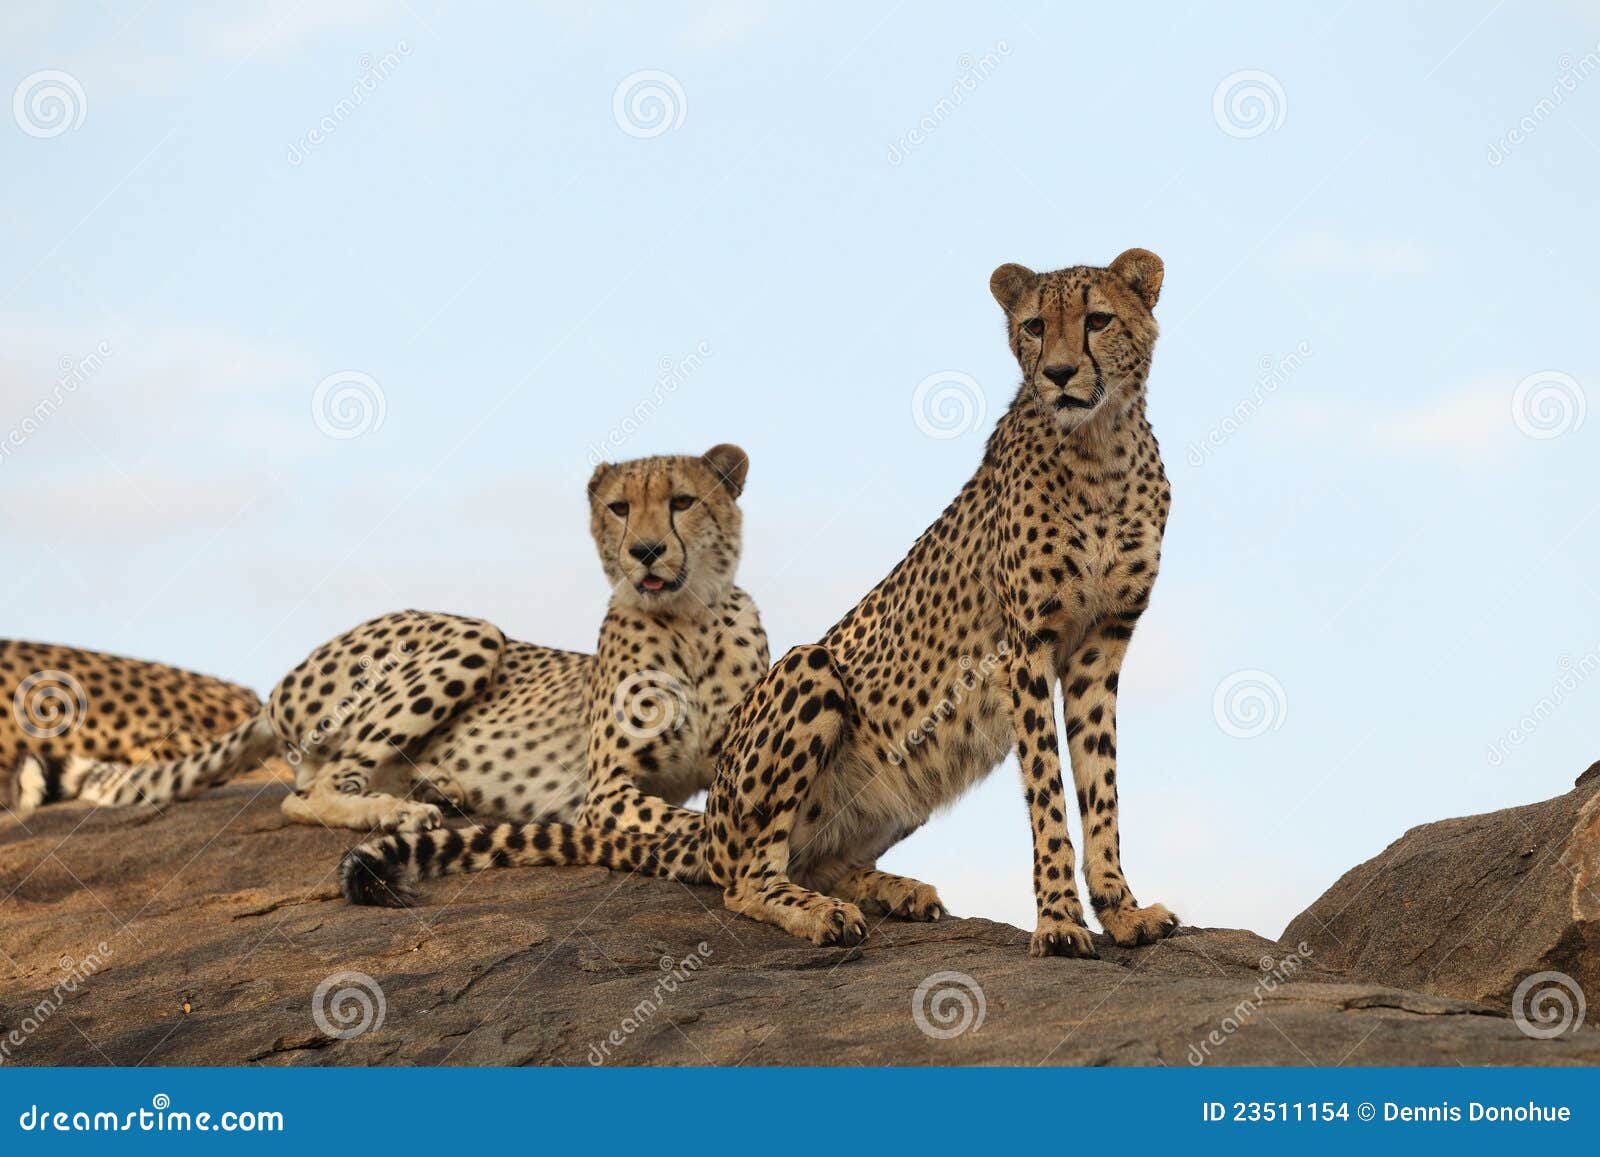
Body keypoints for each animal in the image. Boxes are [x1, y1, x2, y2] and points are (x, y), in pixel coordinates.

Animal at [341, 251, 1180, 959]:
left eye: (1097, 319)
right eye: (1034, 325)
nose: (1061, 373)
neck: (1100, 448)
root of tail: (709, 821)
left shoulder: (1100, 643)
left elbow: (1099, 784)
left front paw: (1122, 907)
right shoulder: (1025, 647)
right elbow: (1049, 795)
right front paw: (1062, 920)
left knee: (809, 856)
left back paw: (887, 887)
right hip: (812, 671)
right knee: (743, 878)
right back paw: (820, 911)